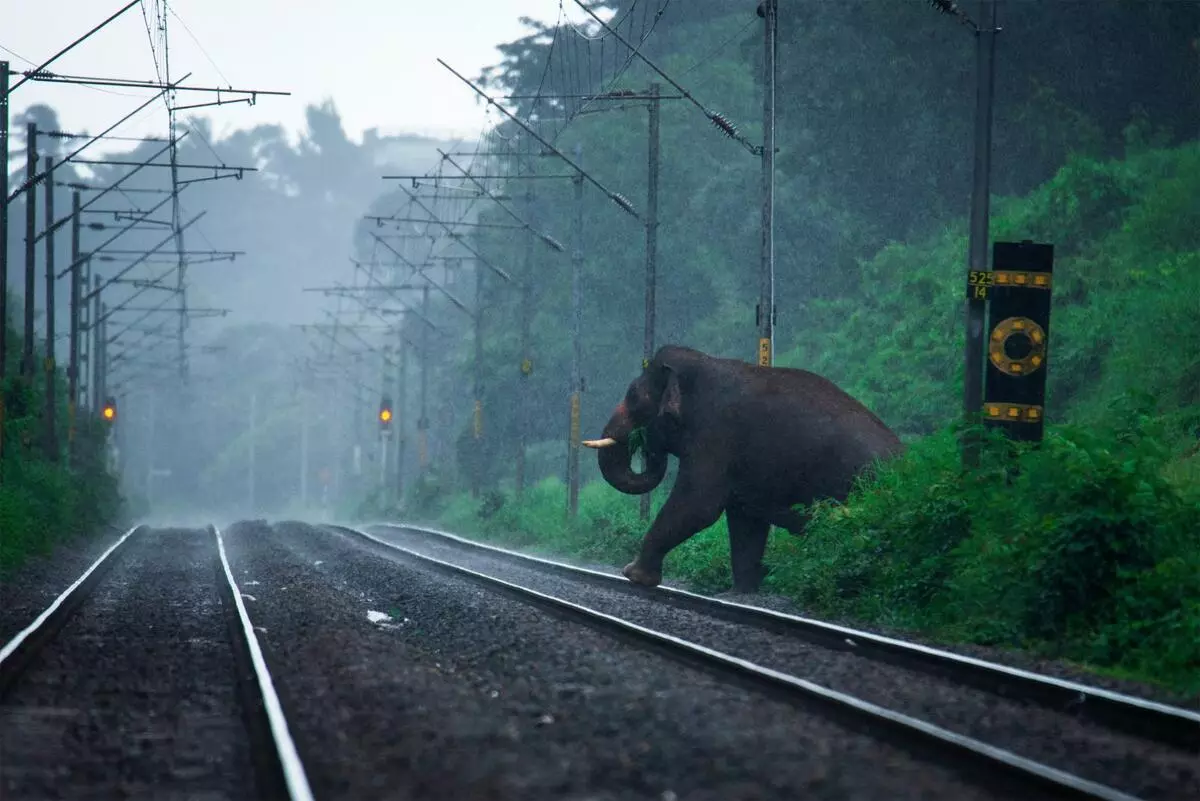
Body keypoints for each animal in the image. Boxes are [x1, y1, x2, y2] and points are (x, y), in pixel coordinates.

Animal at [580, 345, 902, 594]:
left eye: (633, 395)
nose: (645, 444)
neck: (703, 362)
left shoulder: (716, 433)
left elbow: (698, 505)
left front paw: (633, 575)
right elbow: (744, 519)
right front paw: (739, 594)